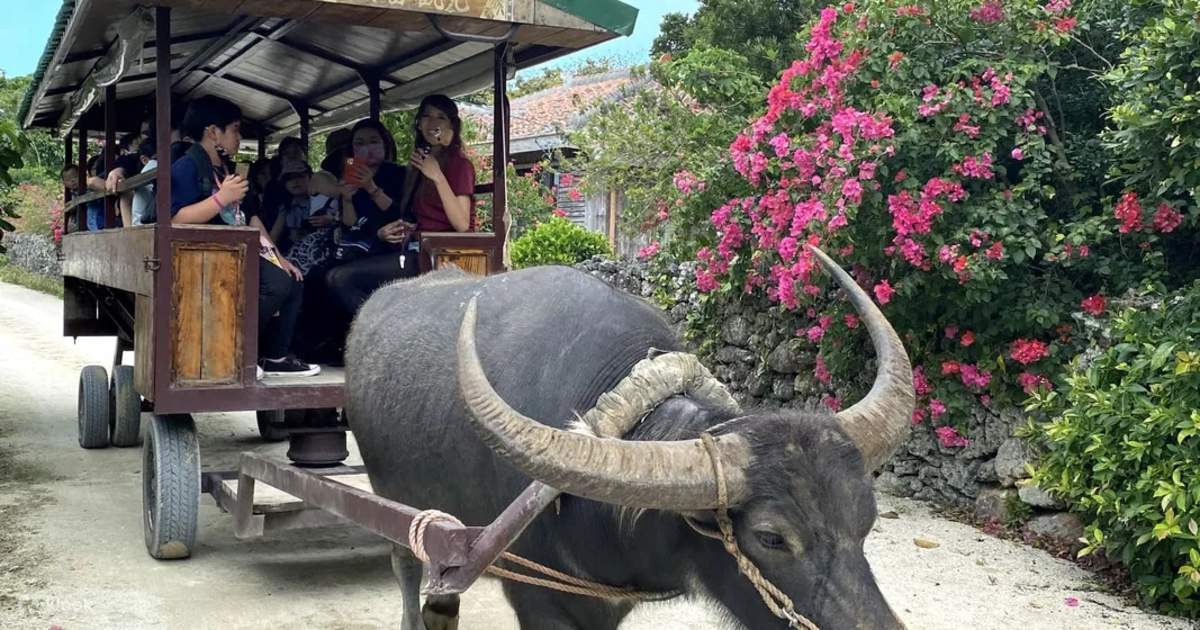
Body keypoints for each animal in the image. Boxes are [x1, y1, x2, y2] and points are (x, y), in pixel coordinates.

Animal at [346, 246, 913, 629]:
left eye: (866, 519)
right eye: (771, 537)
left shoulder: (606, 604)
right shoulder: (537, 600)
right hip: (395, 505)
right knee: (408, 570)